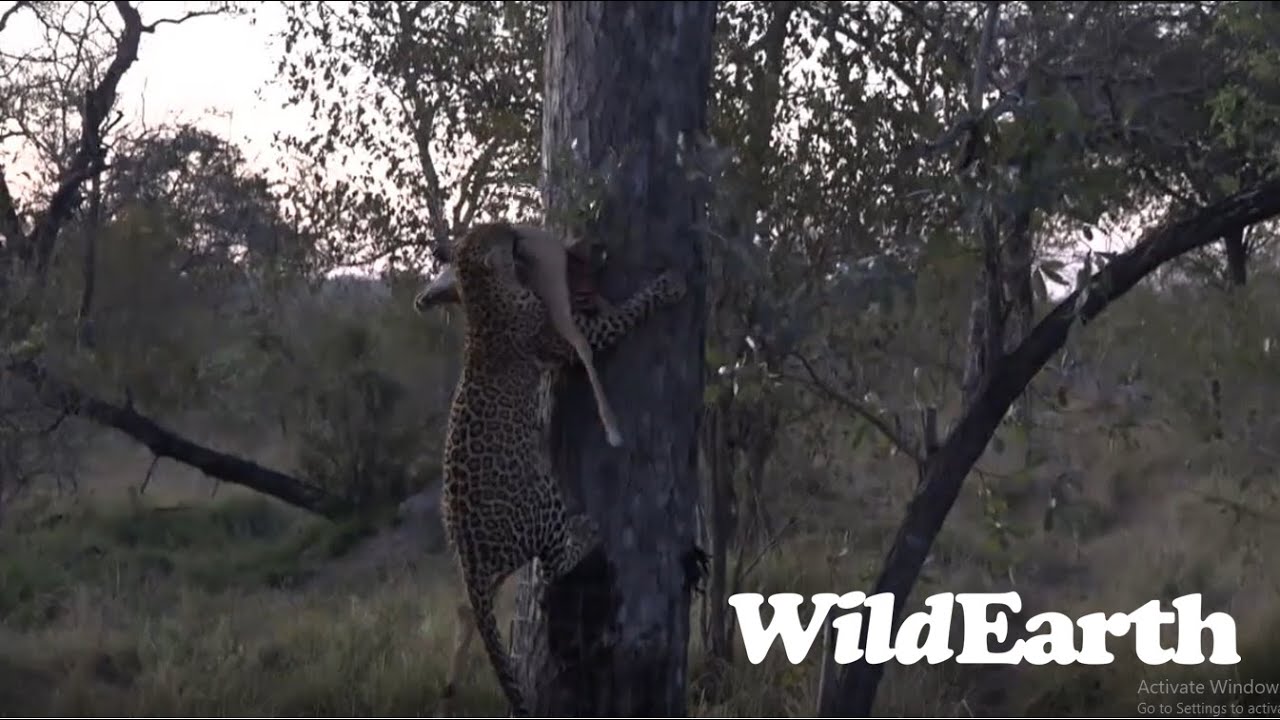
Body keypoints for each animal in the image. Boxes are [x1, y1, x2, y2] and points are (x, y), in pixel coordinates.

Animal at [421, 221, 687, 716]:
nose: (513, 229)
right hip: (544, 498)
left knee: (478, 603)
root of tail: (470, 556)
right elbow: (626, 314)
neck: (483, 296)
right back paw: (586, 529)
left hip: (485, 567)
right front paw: (667, 286)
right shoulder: (569, 336)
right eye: (500, 236)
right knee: (551, 564)